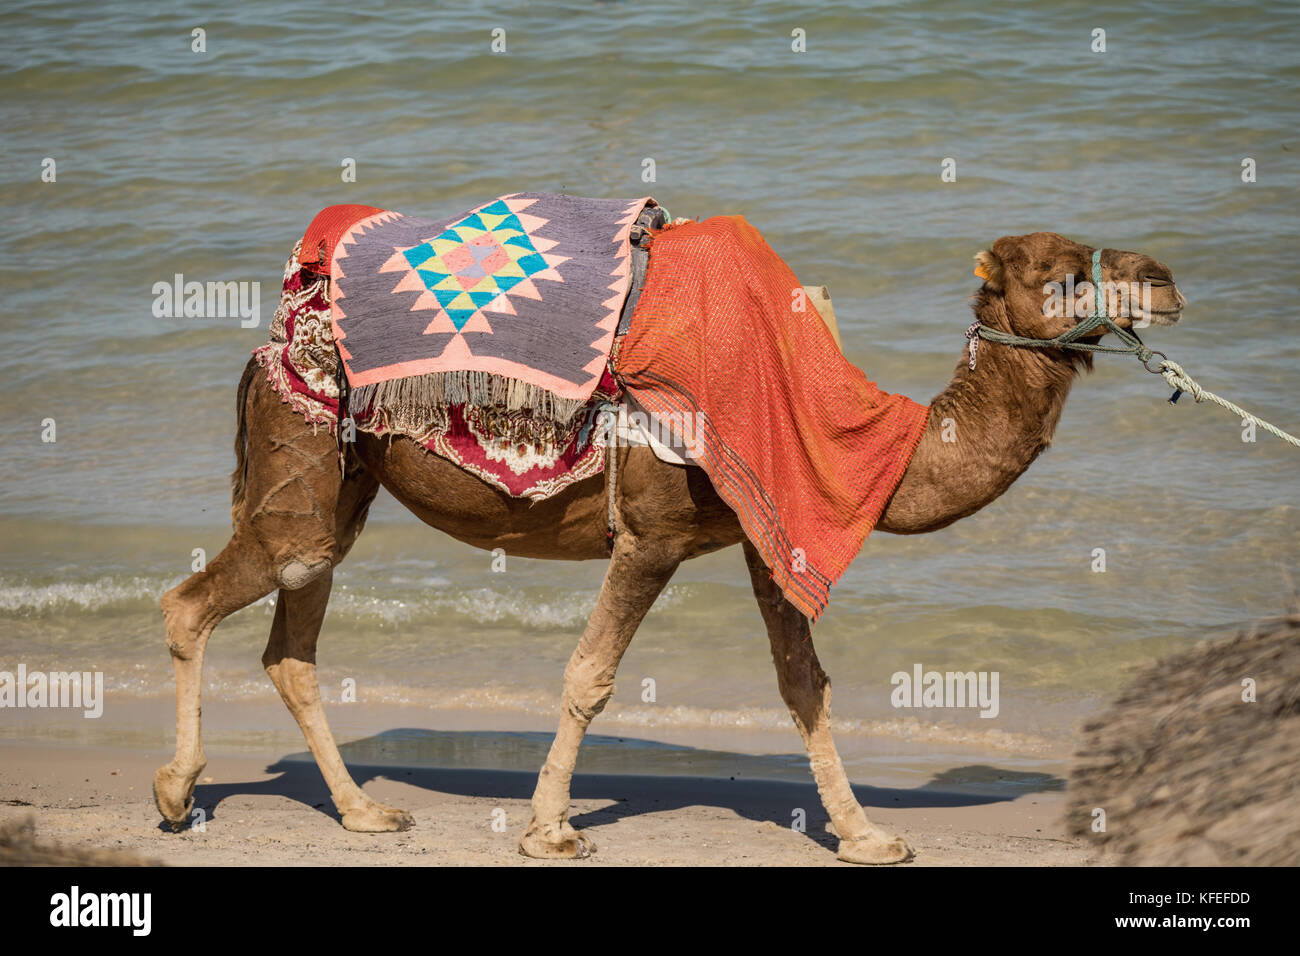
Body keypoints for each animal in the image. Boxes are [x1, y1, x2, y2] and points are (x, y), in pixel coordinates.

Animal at [153, 230, 1184, 864]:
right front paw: (550, 832)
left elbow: (804, 686)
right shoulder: (652, 535)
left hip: (342, 484)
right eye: (1057, 271)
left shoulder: (771, 531)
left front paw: (866, 837)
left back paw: (366, 812)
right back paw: (174, 792)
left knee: (293, 639)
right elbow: (591, 675)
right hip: (298, 457)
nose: (1168, 281)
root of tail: (270, 342)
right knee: (196, 601)